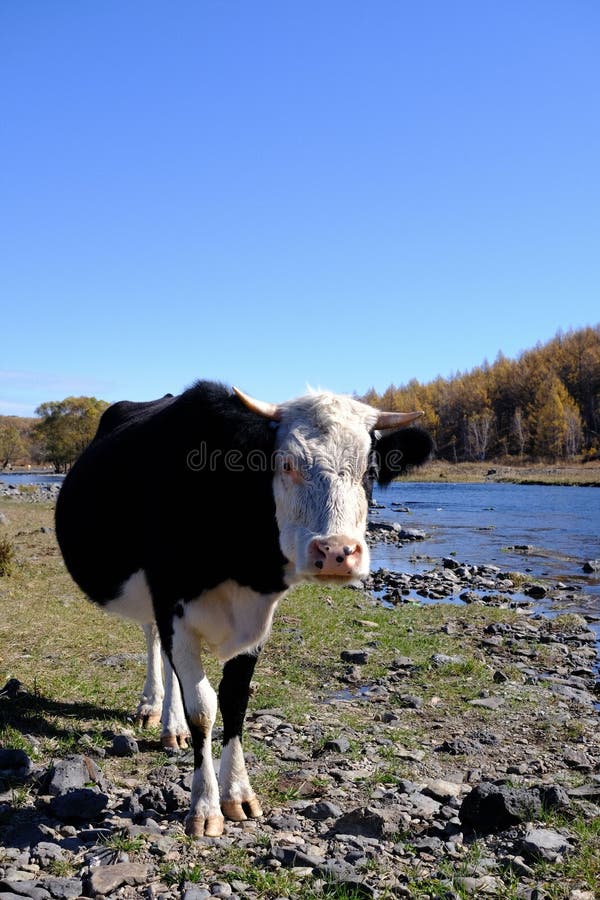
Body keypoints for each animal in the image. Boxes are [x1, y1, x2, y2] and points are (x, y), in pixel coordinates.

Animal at [55, 381, 432, 837]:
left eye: (370, 471)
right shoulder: (170, 600)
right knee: (152, 640)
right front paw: (204, 806)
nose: (336, 552)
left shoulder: (257, 618)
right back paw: (154, 707)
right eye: (285, 464)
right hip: (149, 595)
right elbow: (203, 708)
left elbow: (235, 701)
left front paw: (237, 793)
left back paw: (171, 728)